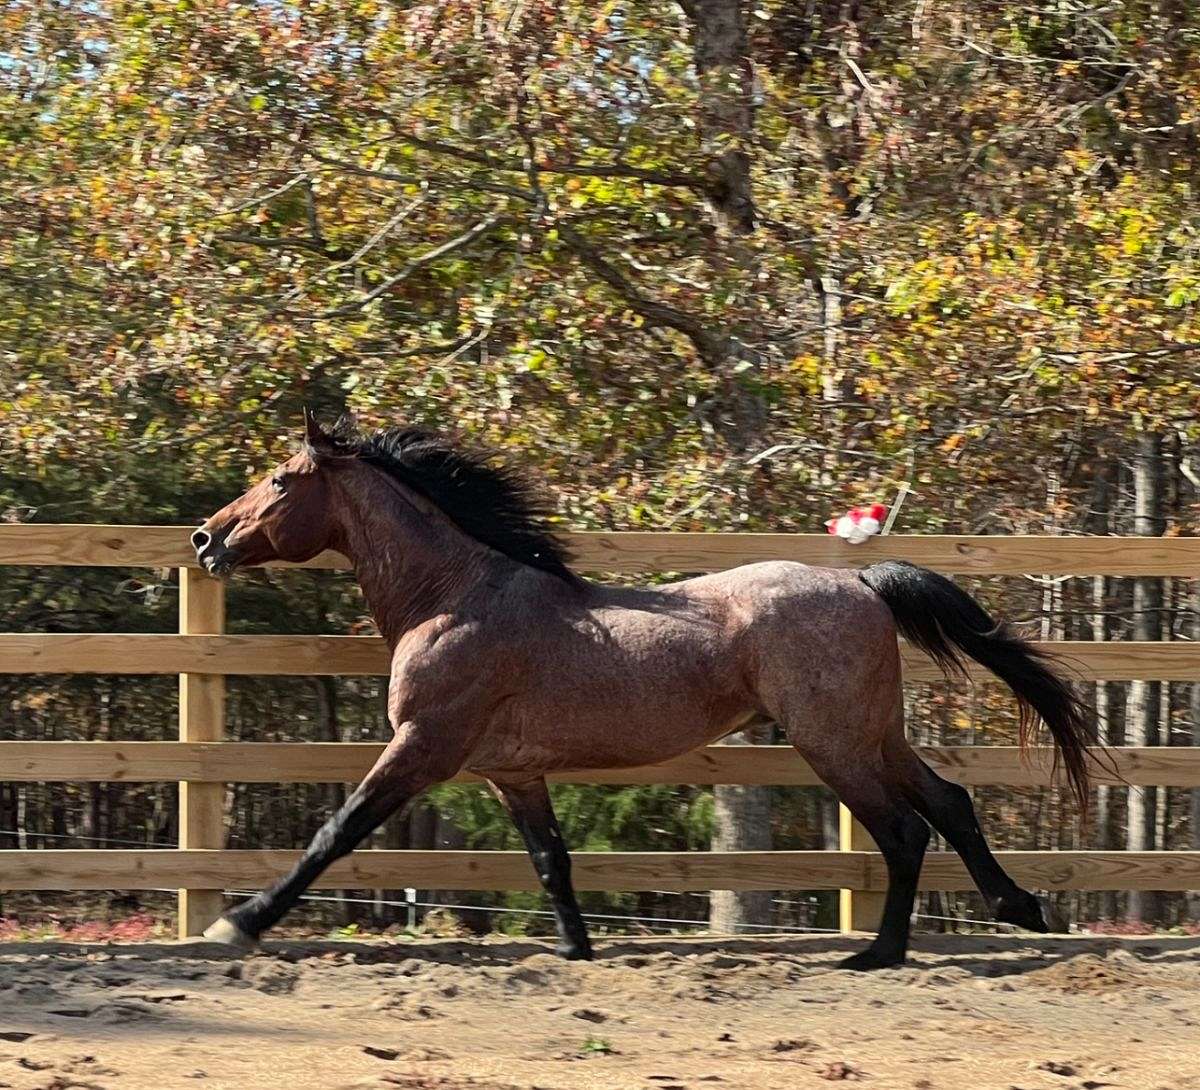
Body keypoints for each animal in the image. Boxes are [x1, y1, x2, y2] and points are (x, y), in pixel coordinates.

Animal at [191, 412, 1094, 970]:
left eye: (281, 480)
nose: (205, 539)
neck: (454, 597)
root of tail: (863, 582)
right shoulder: (512, 772)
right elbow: (551, 860)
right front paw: (575, 951)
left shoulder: (422, 747)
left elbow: (333, 834)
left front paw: (237, 922)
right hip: (873, 733)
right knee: (949, 803)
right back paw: (1018, 908)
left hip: (831, 741)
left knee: (905, 830)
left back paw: (877, 954)